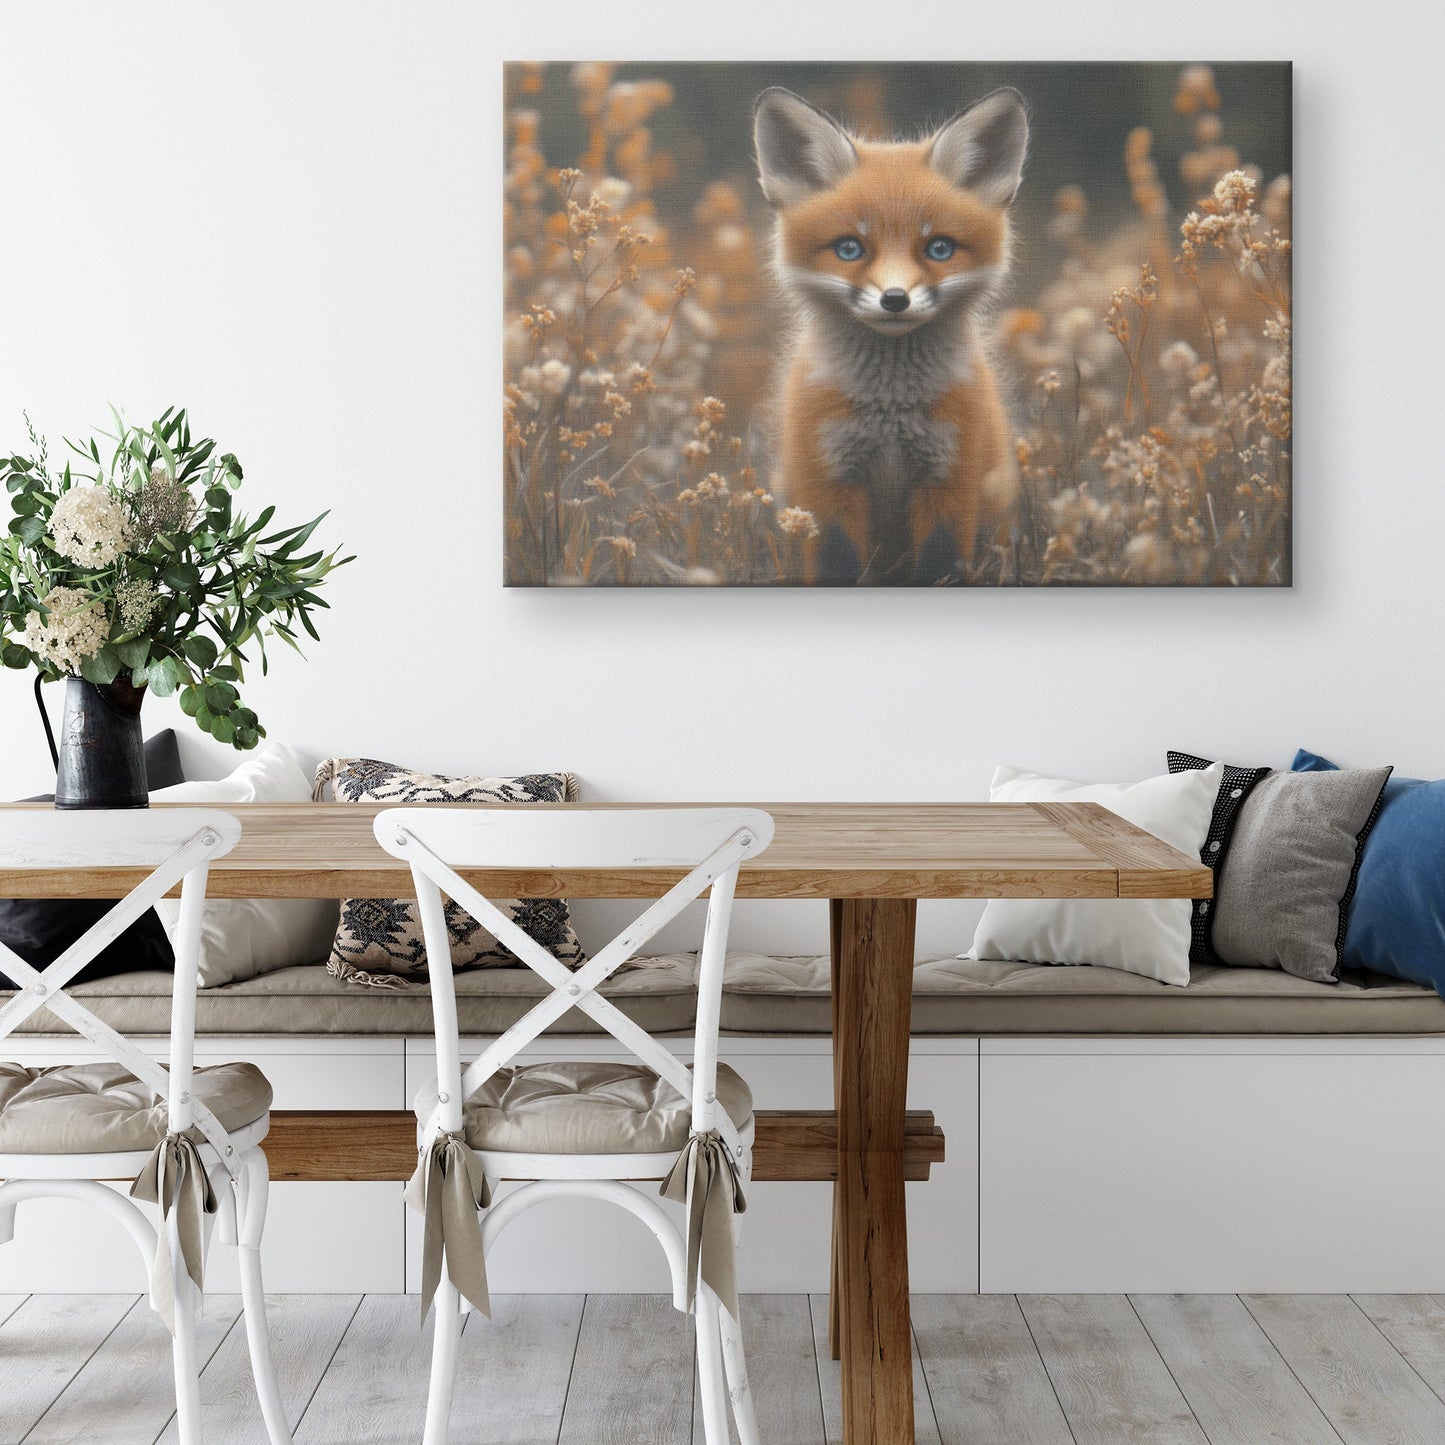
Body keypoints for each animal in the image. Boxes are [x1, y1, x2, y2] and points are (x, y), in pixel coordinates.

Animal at [753, 85, 1029, 584]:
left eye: (939, 248)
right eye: (849, 248)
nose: (895, 299)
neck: (890, 411)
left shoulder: (949, 476)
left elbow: (941, 565)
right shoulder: (828, 478)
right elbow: (836, 563)